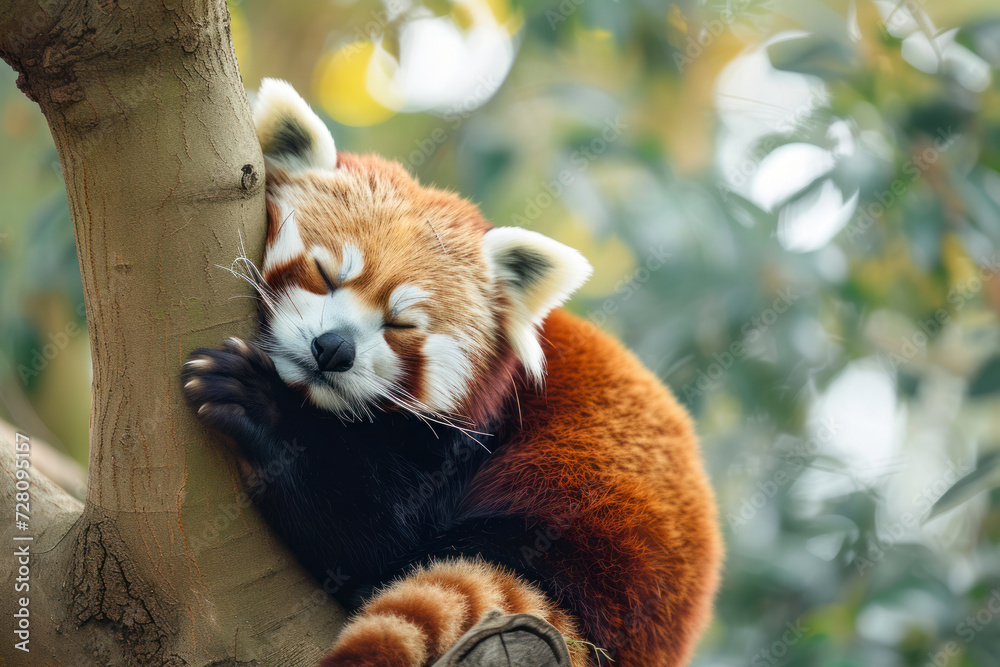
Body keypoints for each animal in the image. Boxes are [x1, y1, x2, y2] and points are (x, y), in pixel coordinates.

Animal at [182, 79, 721, 667]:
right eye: (324, 274)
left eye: (401, 324)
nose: (333, 349)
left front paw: (262, 406)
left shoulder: (462, 446)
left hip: (585, 506)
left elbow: (374, 534)